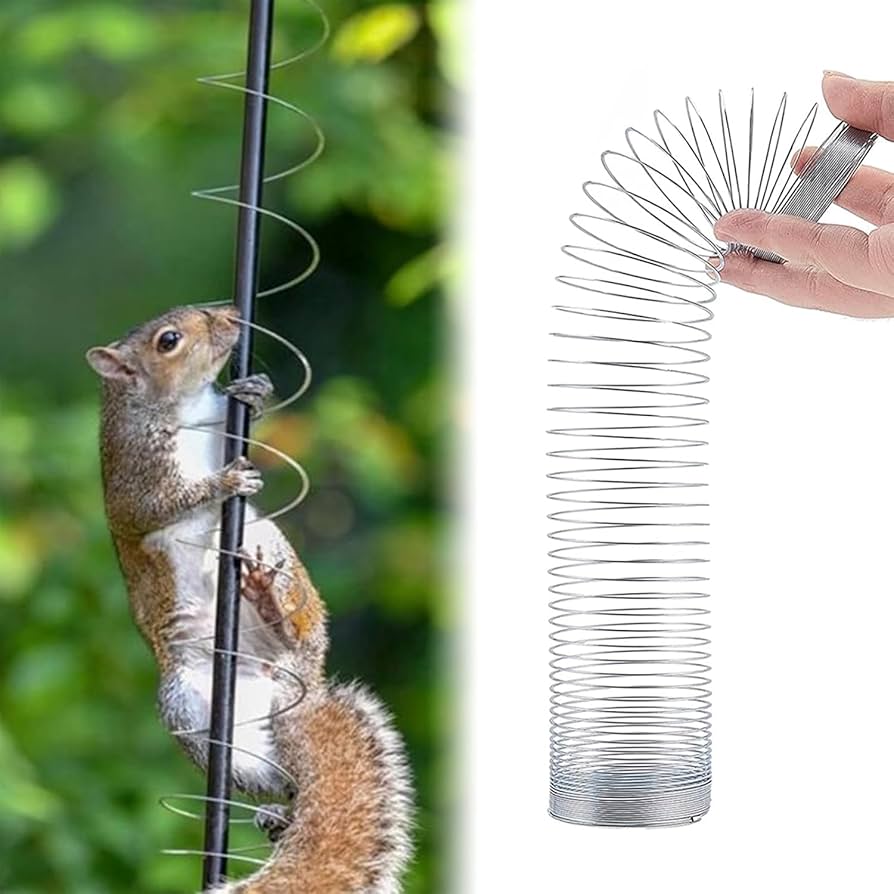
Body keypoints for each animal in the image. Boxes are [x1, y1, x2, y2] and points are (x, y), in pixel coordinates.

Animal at [85, 304, 414, 893]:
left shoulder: (221, 422)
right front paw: (220, 483)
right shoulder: (135, 473)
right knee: (273, 777)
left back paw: (268, 603)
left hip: (267, 546)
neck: (185, 406)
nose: (231, 314)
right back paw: (280, 814)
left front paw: (258, 392)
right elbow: (159, 505)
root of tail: (295, 681)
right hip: (192, 707)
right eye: (168, 340)